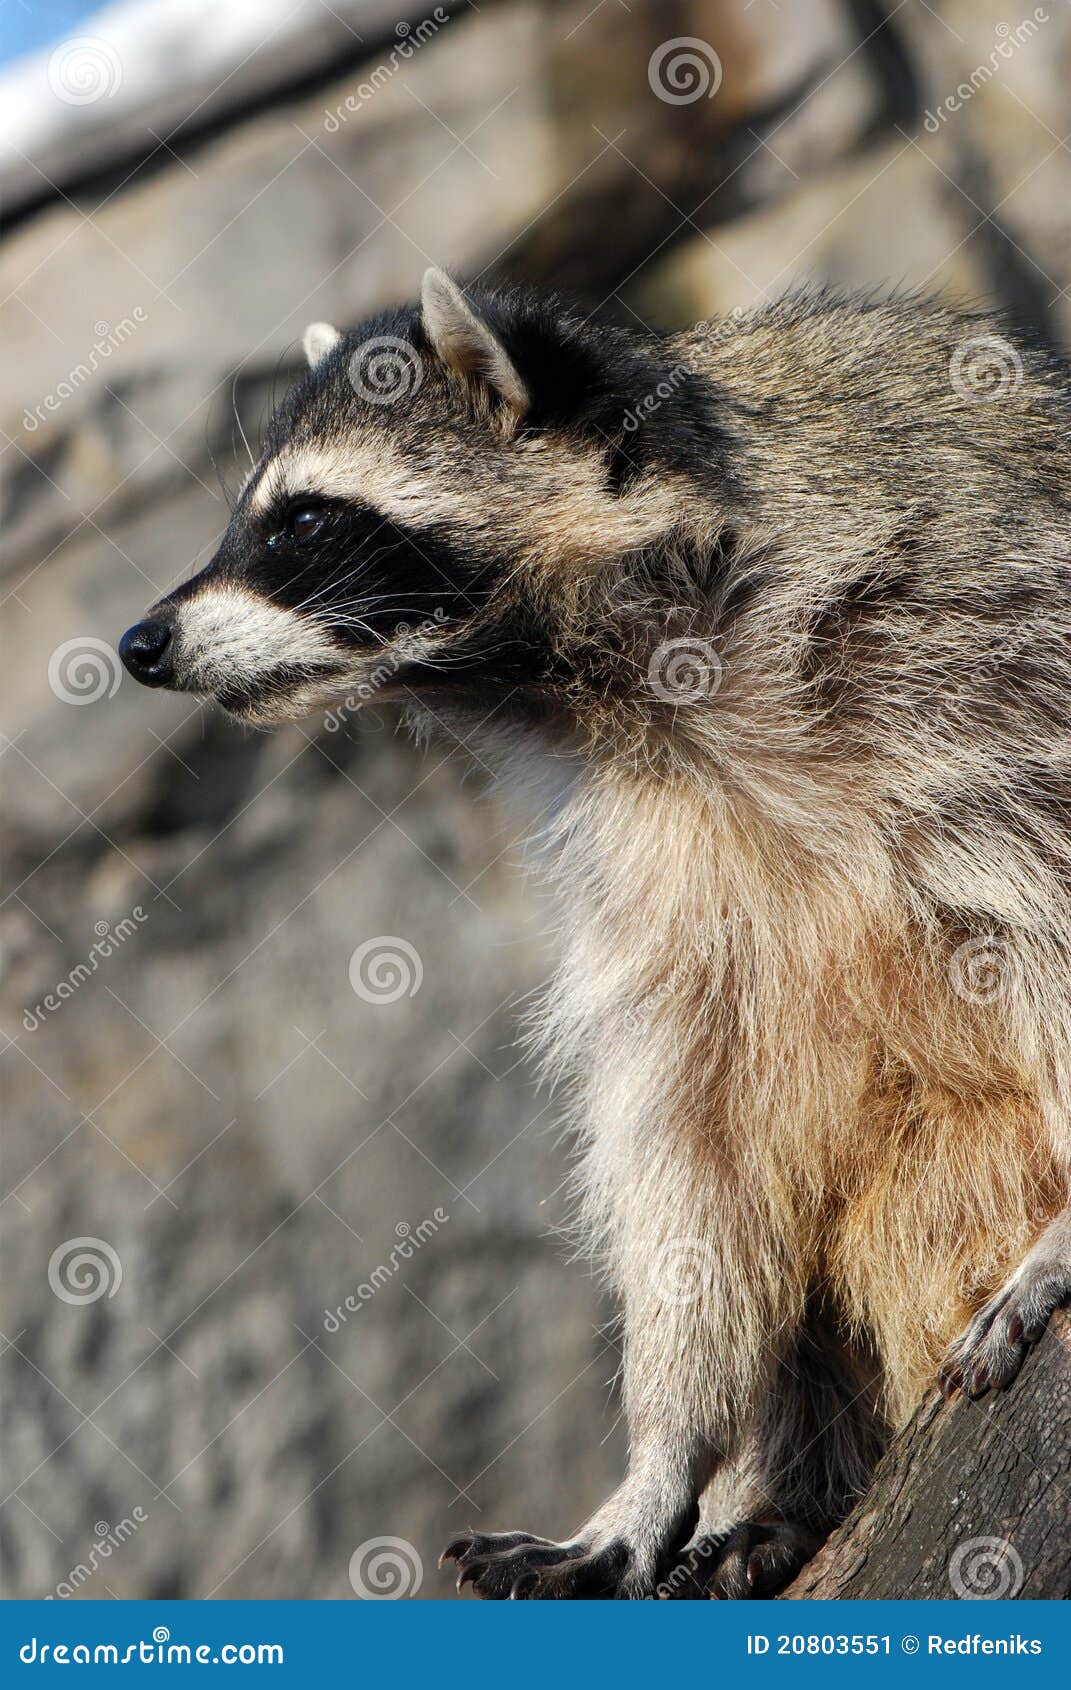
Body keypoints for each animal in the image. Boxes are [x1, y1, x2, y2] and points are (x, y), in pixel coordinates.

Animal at [119, 271, 1071, 1598]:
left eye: (302, 523)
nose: (139, 645)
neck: (599, 677)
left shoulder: (976, 684)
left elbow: (1049, 931)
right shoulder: (659, 879)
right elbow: (689, 1145)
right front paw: (665, 1457)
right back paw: (790, 1481)